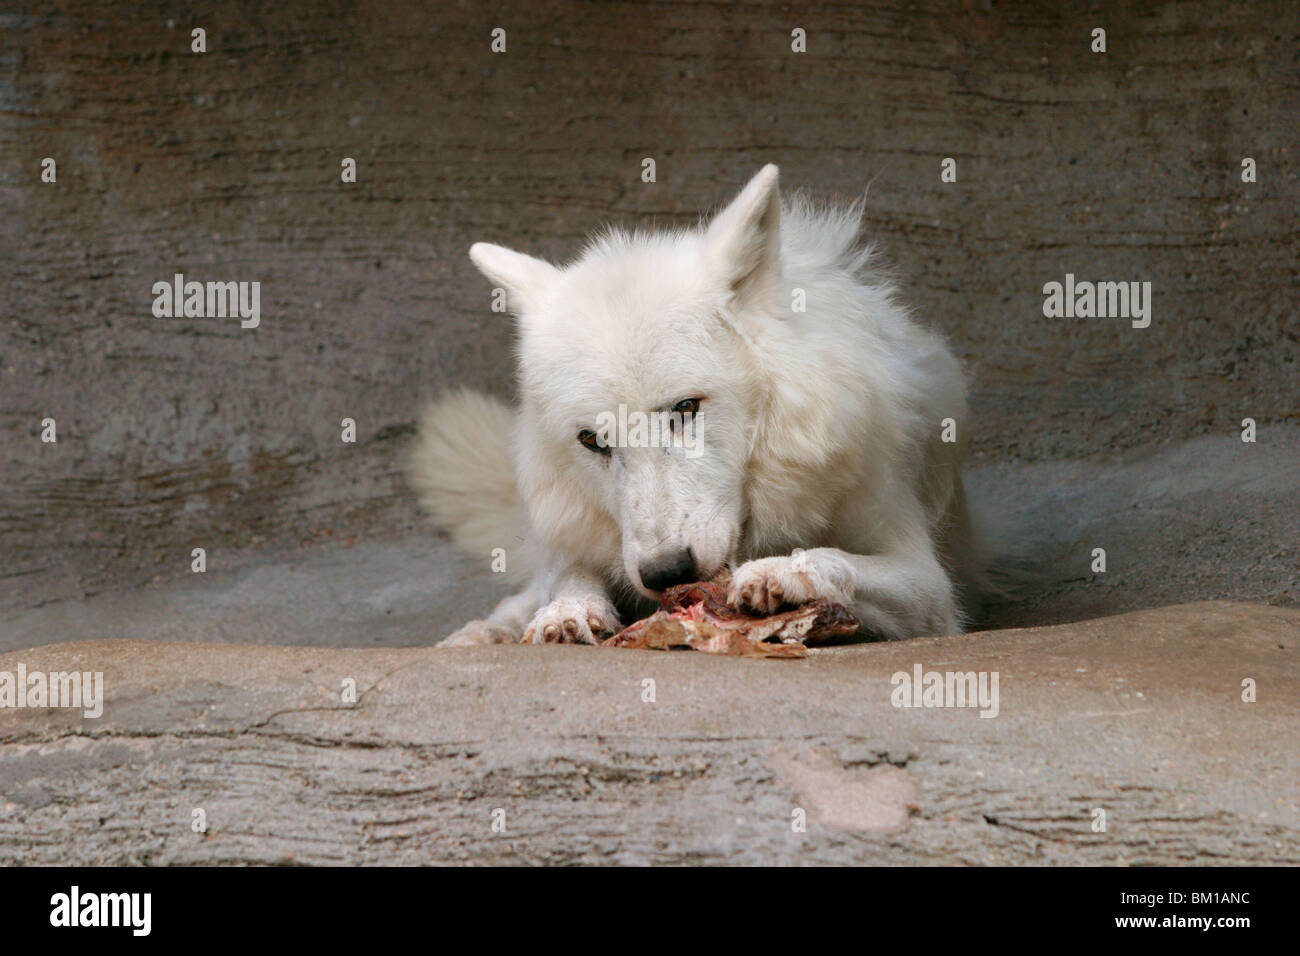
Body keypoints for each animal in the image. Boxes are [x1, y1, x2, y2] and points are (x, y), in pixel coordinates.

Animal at [411, 165, 984, 646]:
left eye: (686, 407)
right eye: (593, 440)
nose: (667, 572)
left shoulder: (928, 580)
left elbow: (838, 560)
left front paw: (783, 572)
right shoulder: (595, 545)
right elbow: (570, 574)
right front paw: (568, 612)